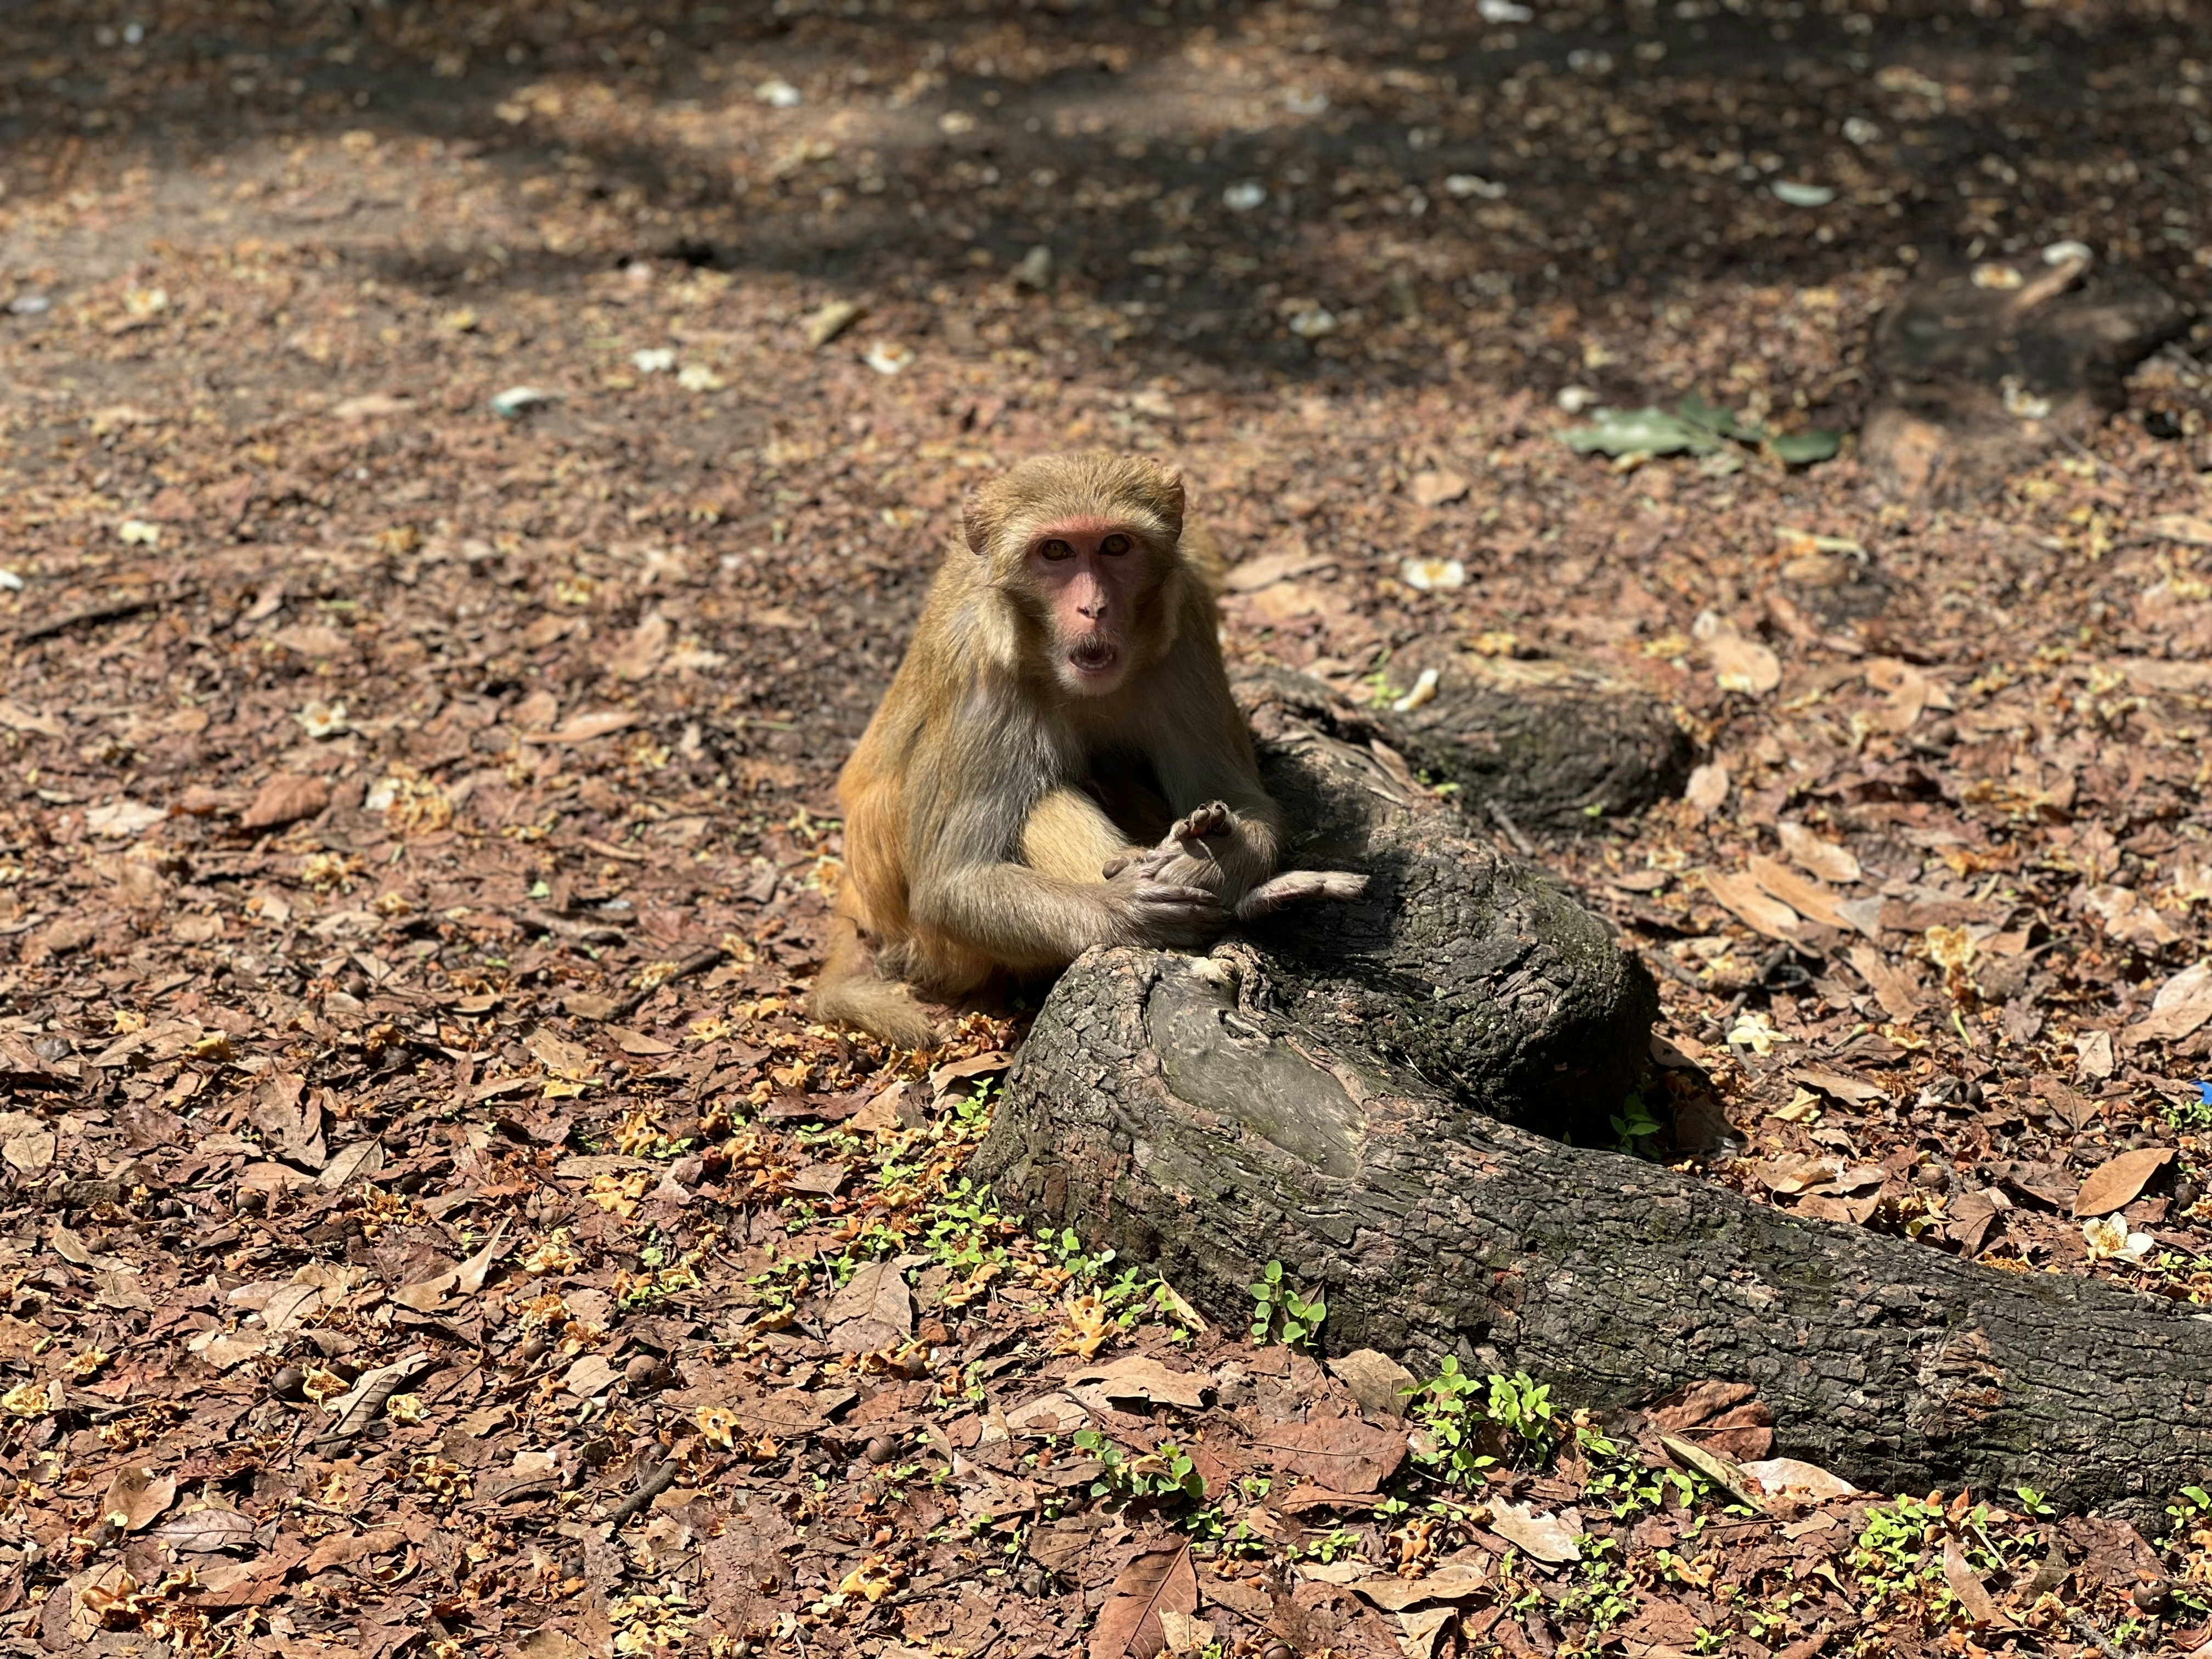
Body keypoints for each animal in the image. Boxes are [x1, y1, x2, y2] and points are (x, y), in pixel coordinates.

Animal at [810, 450, 1364, 1047]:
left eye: (1115, 545)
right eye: (1056, 552)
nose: (1094, 609)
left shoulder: (1187, 628)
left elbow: (1242, 799)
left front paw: (1214, 861)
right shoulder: (984, 669)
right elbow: (951, 883)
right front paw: (1124, 910)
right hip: (937, 951)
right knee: (1040, 804)